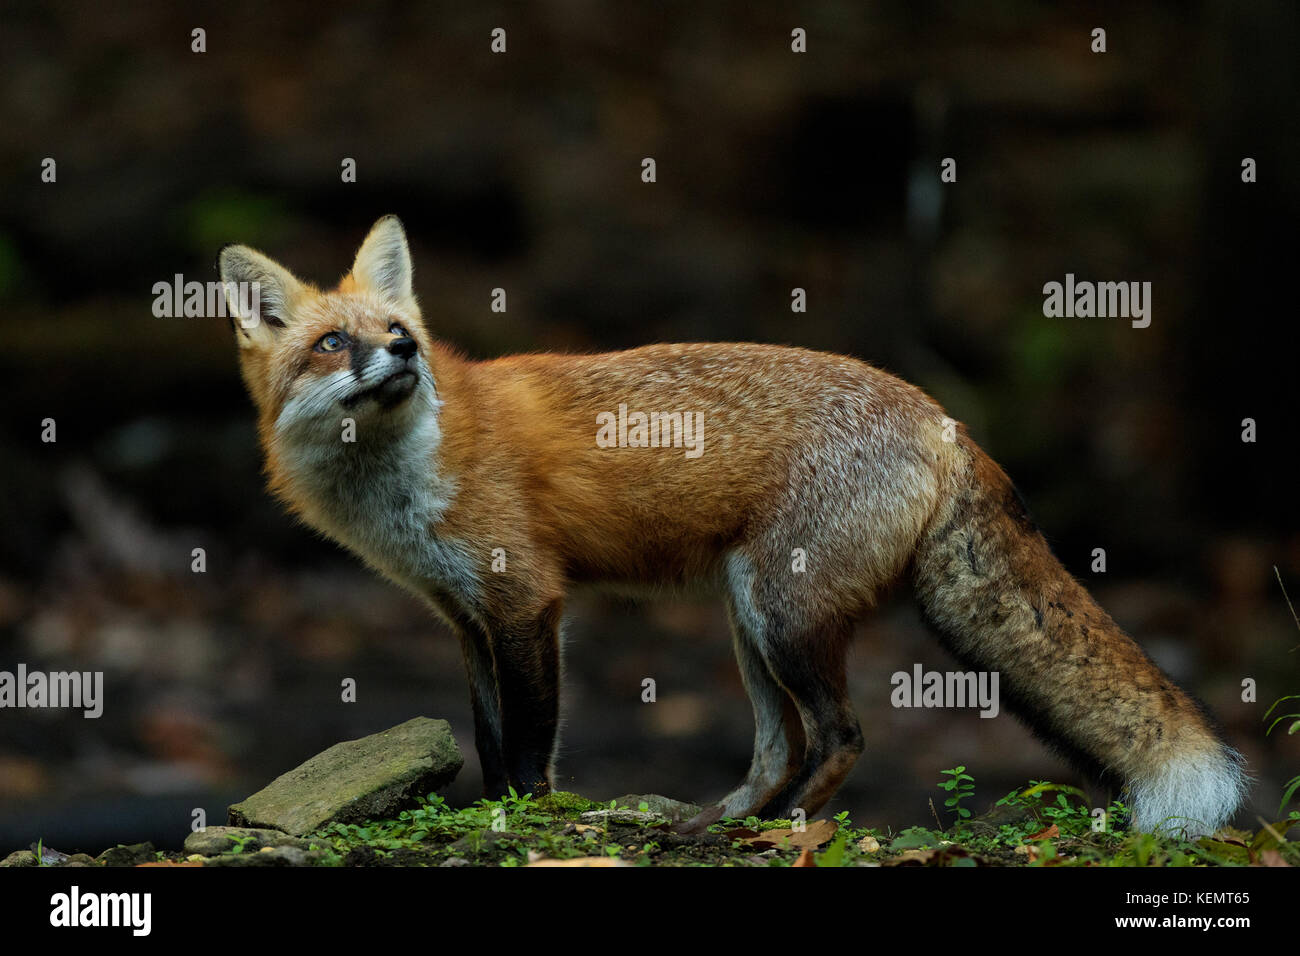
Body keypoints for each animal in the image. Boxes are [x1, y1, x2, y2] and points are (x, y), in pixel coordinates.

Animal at [218, 215, 1246, 837]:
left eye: (397, 330)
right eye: (332, 343)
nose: (401, 351)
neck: (411, 476)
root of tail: (940, 415)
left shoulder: (527, 602)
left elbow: (529, 745)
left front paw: (524, 821)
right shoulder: (465, 617)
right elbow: (486, 733)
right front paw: (492, 813)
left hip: (780, 612)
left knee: (841, 735)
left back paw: (783, 828)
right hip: (747, 619)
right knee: (781, 742)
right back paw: (727, 821)